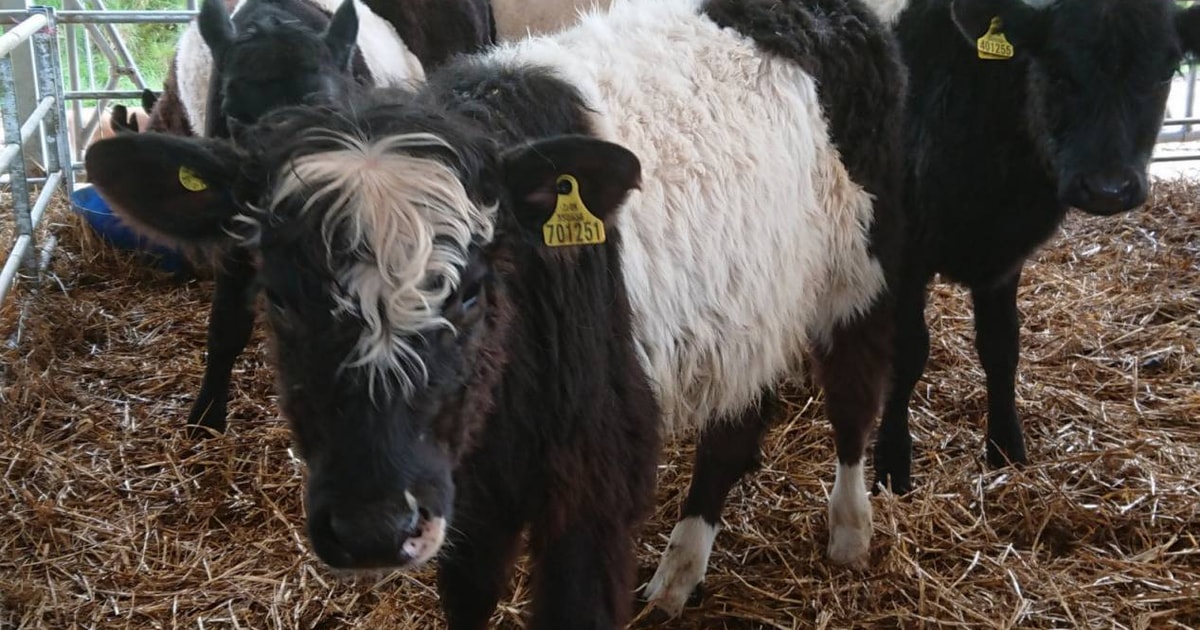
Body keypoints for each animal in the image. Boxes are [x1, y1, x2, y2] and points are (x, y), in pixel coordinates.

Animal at [84, 0, 907, 624]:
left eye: (473, 290)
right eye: (278, 295)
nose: (371, 526)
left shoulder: (595, 484)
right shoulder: (466, 505)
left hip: (864, 277)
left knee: (854, 401)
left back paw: (849, 530)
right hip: (754, 307)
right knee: (737, 424)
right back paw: (681, 569)